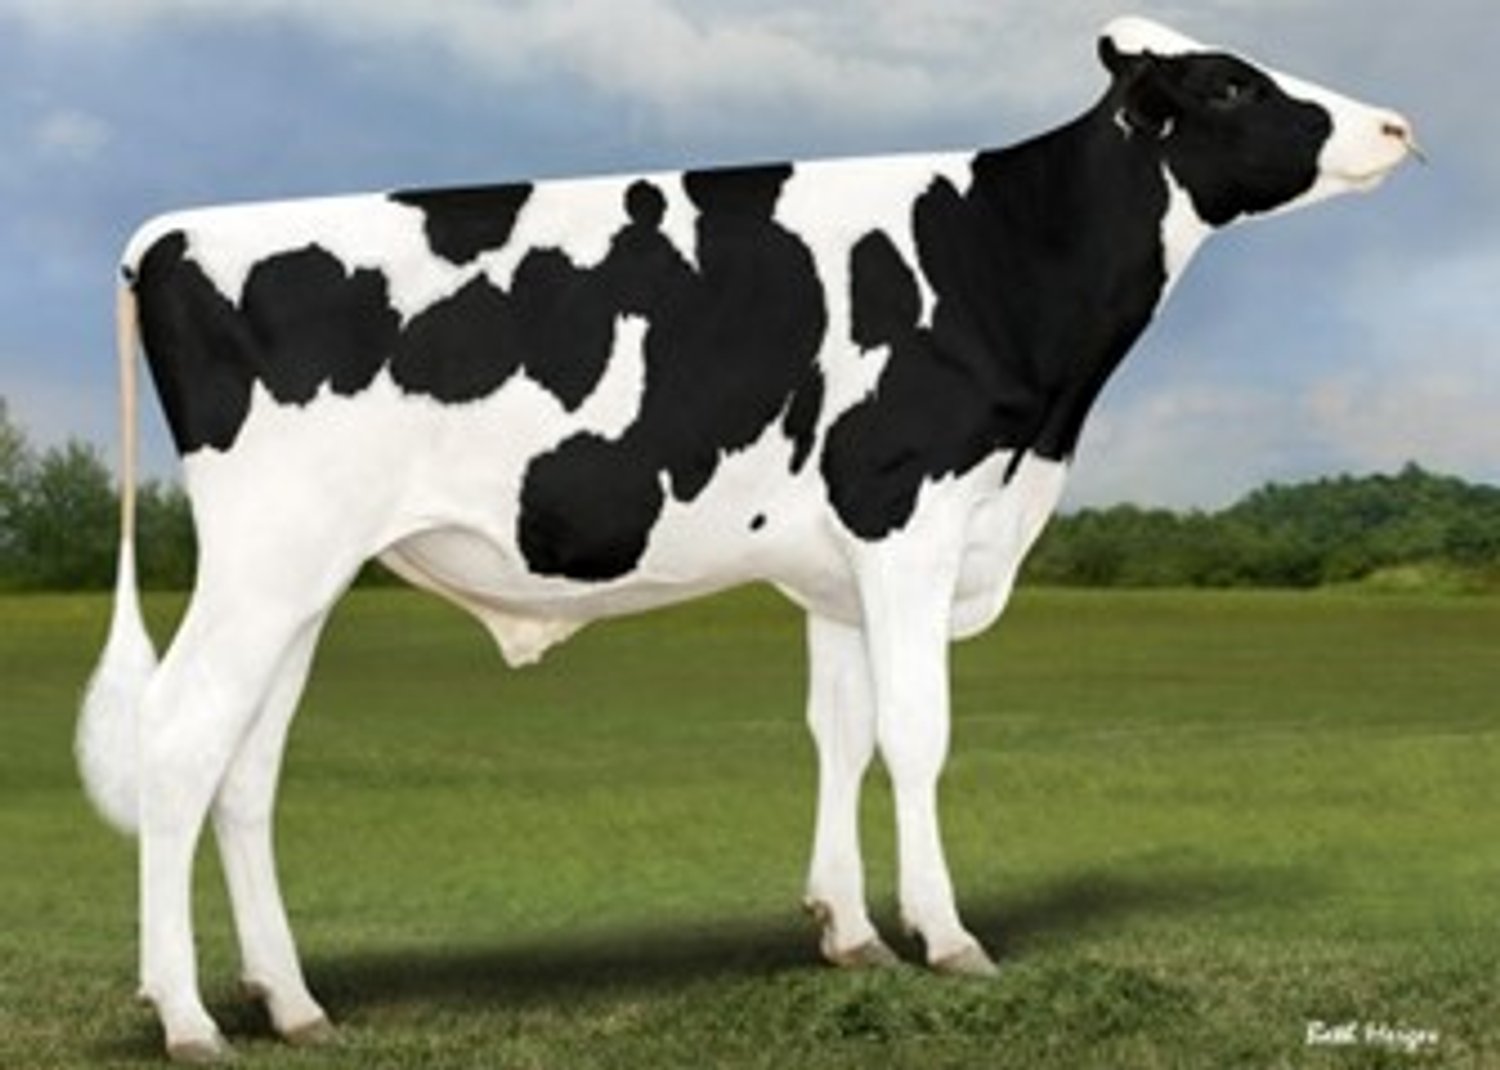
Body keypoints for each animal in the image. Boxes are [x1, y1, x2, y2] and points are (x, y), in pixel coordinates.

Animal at [78, 16, 1417, 1062]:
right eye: (1231, 85)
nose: (1399, 126)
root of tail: (166, 234)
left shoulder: (838, 567)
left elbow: (843, 732)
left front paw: (852, 931)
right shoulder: (907, 514)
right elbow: (918, 735)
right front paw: (948, 936)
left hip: (305, 575)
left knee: (245, 764)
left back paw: (291, 1002)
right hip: (269, 554)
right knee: (181, 736)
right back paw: (185, 1015)